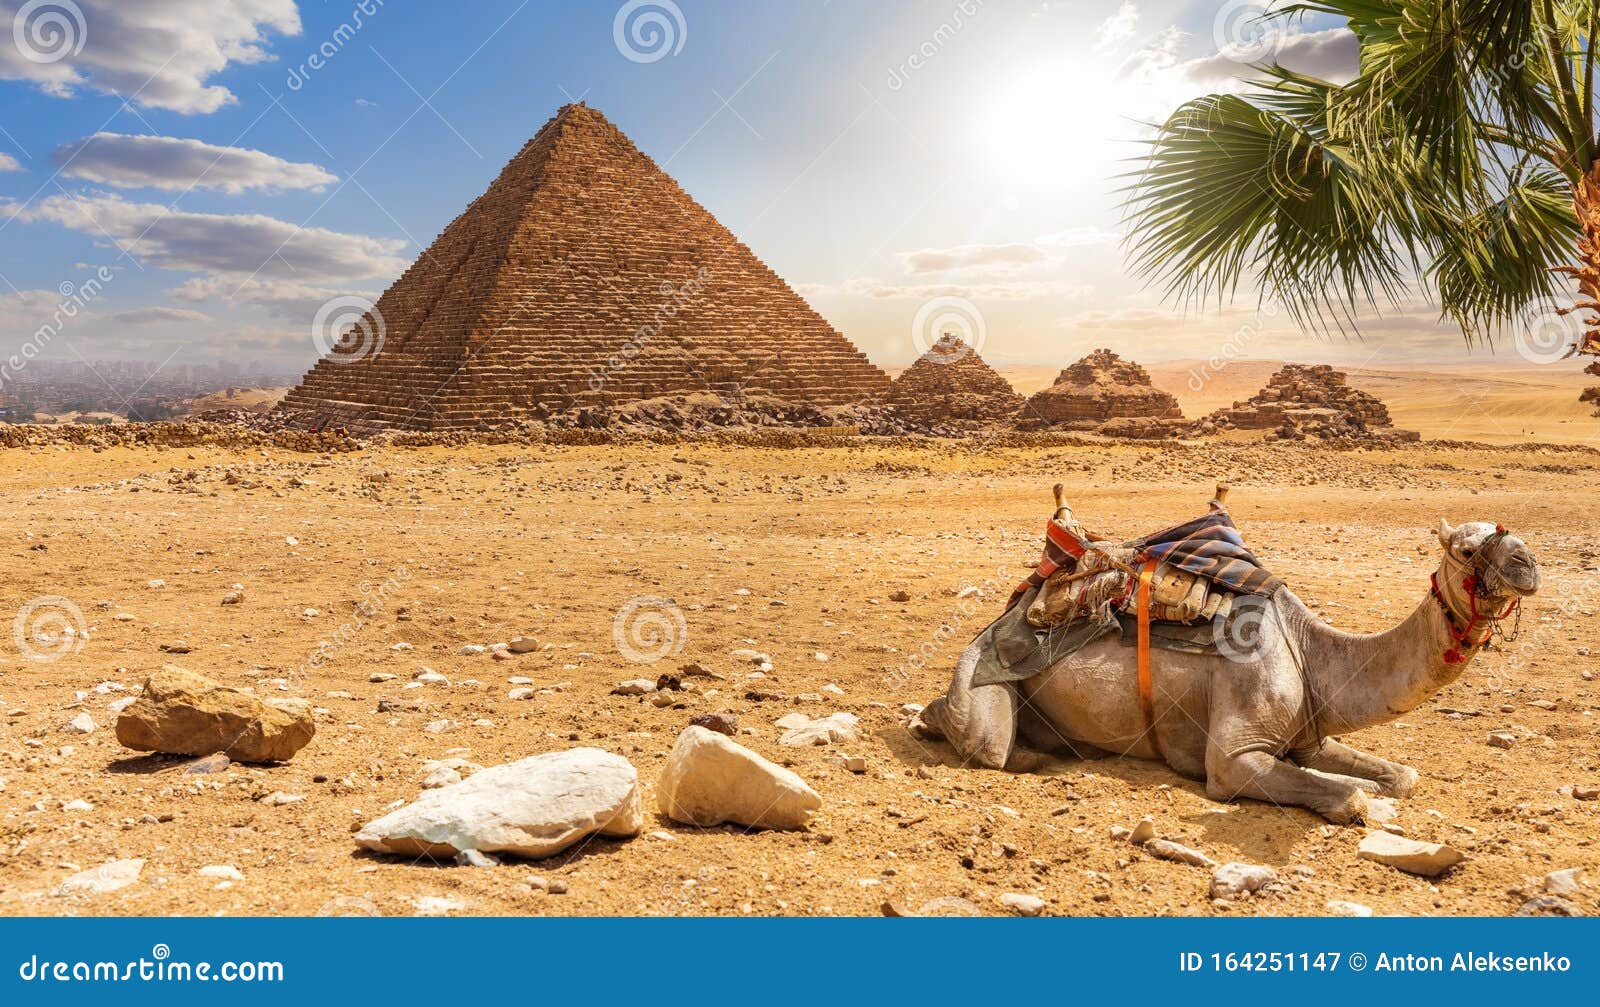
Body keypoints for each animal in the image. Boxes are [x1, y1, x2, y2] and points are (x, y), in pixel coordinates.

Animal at [916, 517, 1541, 823]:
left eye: (1510, 536)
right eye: (1465, 550)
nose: (1526, 562)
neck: (1308, 649)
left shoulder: (1308, 736)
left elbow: (1401, 776)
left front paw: (1381, 783)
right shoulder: (1234, 755)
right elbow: (1350, 795)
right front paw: (1362, 797)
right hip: (984, 675)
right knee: (986, 741)